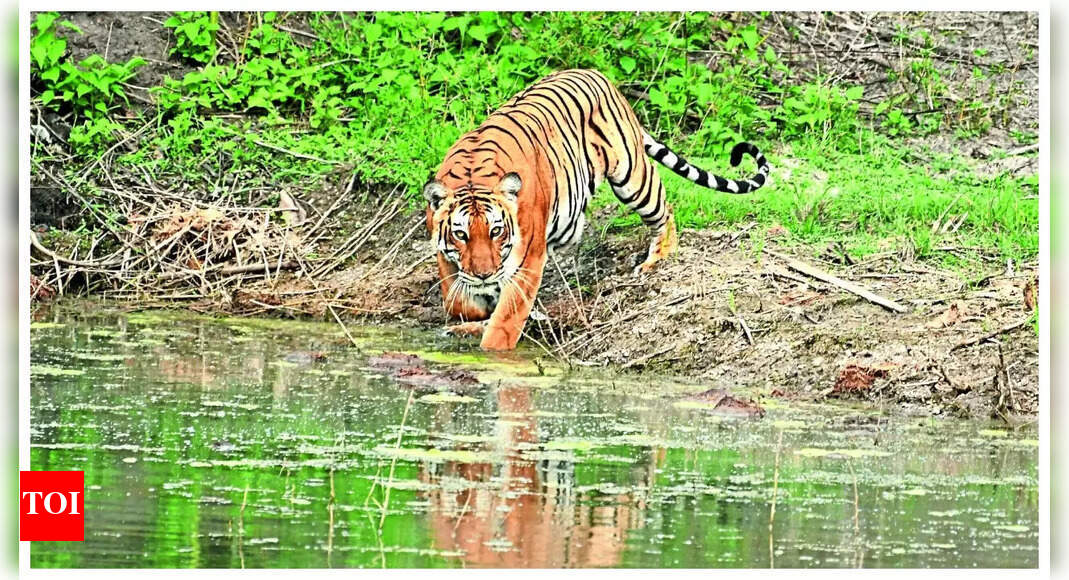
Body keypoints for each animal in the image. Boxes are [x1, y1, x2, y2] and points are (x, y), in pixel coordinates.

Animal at [424, 69, 770, 351]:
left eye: (496, 231)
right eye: (460, 235)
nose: (483, 274)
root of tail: (600, 77)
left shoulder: (526, 262)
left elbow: (503, 325)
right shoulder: (447, 259)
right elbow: (459, 302)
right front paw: (474, 318)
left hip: (633, 178)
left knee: (665, 210)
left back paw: (656, 259)